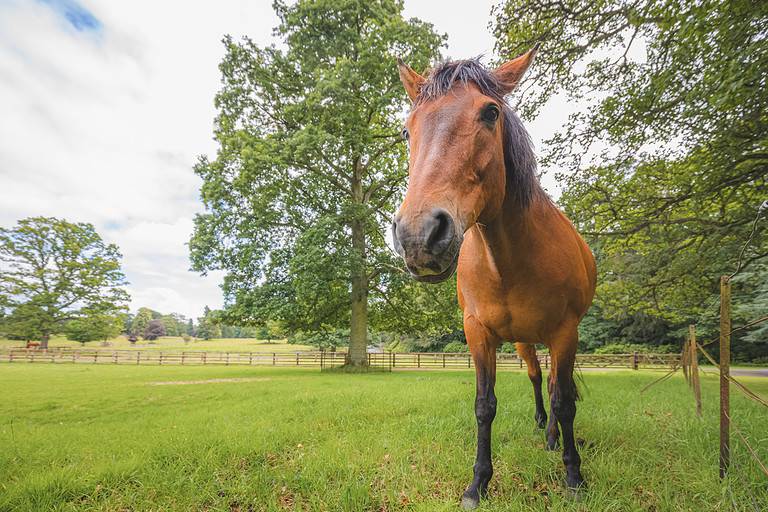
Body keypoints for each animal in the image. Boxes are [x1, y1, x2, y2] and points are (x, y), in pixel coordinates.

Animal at [392, 48, 596, 509]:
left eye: (490, 112)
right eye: (407, 129)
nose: (418, 236)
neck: (510, 258)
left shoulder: (566, 332)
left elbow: (566, 403)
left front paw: (574, 477)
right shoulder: (478, 333)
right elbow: (485, 405)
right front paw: (478, 484)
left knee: (555, 386)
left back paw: (553, 438)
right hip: (523, 341)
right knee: (539, 379)